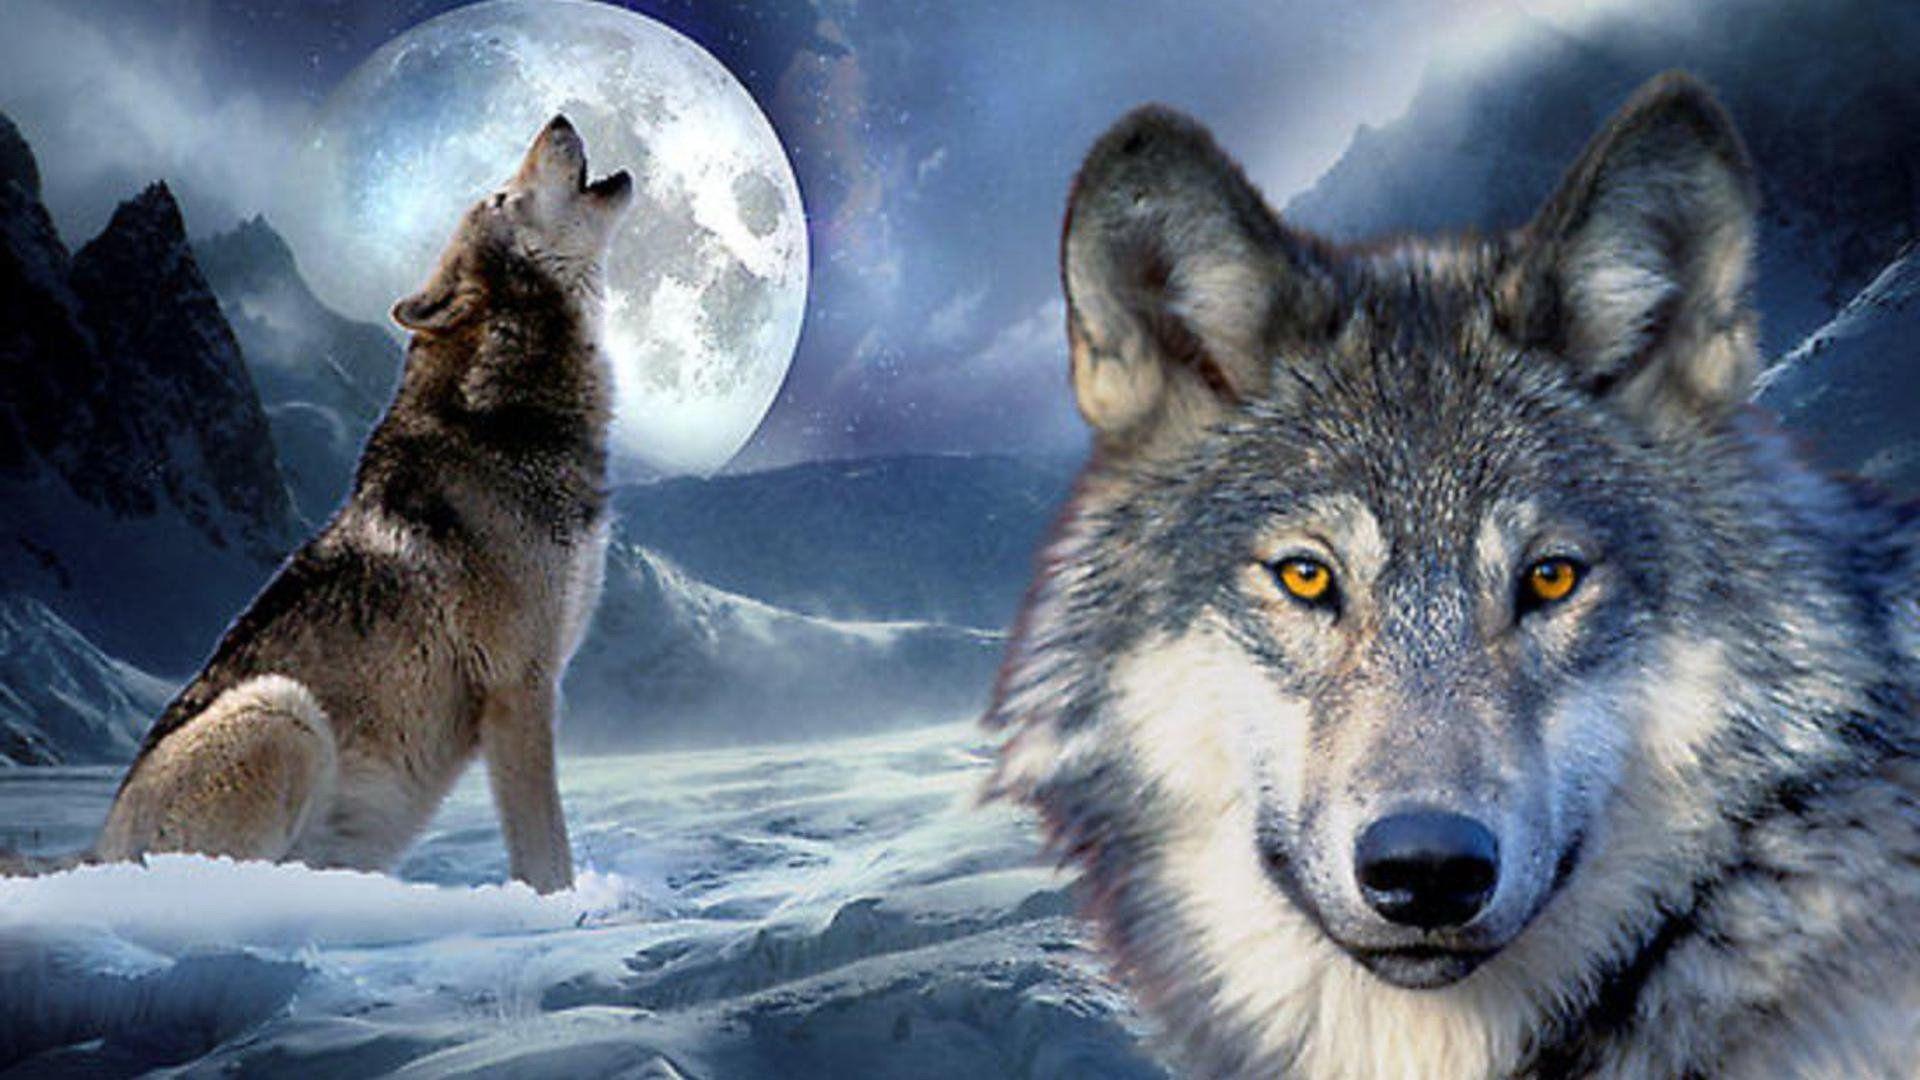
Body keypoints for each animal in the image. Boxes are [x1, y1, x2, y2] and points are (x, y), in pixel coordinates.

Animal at [86, 116, 633, 894]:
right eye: (501, 197)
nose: (557, 118)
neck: (508, 418)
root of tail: (92, 852)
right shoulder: (519, 690)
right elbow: (545, 853)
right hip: (282, 709)